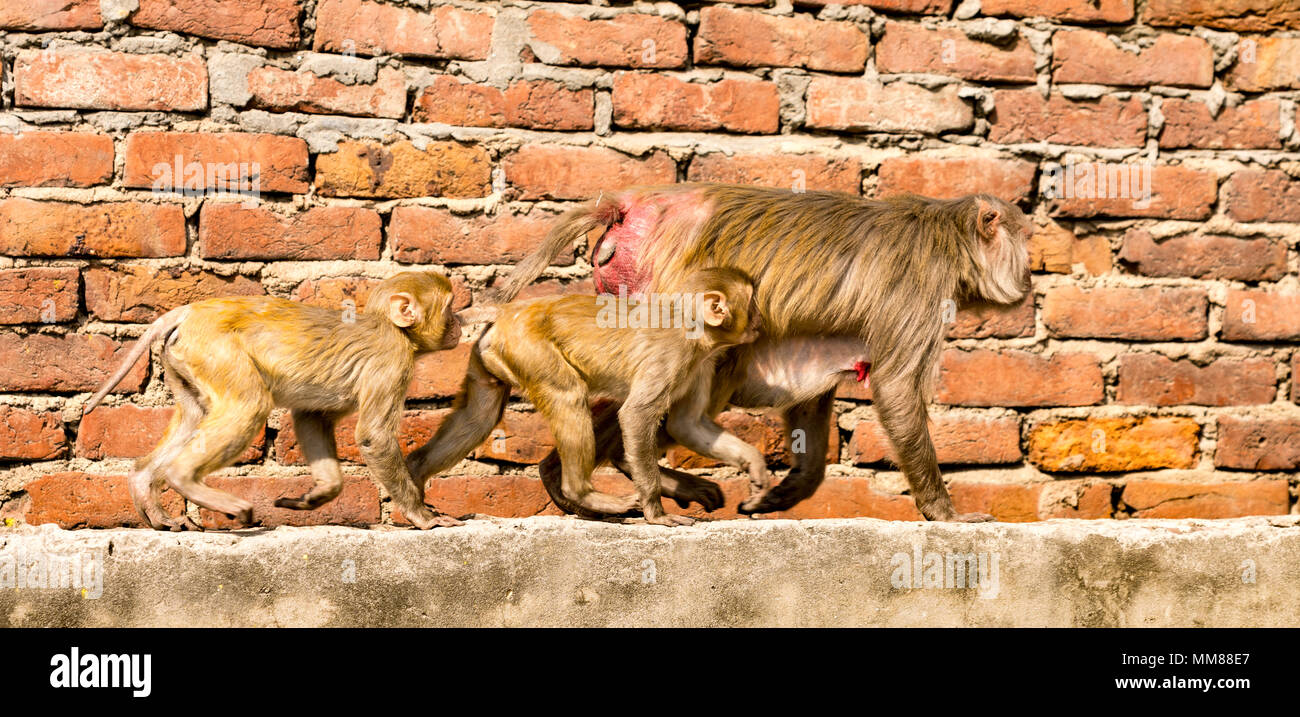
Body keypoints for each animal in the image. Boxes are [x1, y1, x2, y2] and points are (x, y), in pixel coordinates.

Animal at [82, 271, 464, 531]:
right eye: (449, 308)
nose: (460, 322)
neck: (393, 329)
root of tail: (190, 311)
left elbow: (312, 418)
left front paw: (318, 494)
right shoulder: (392, 363)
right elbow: (373, 437)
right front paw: (422, 515)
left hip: (184, 360)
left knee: (195, 415)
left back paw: (146, 487)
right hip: (214, 349)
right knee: (249, 404)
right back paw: (184, 478)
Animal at [404, 267, 764, 526]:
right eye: (752, 303)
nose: (760, 320)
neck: (693, 327)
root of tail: (506, 312)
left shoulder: (702, 363)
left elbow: (687, 424)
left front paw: (755, 466)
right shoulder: (672, 356)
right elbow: (636, 415)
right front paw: (656, 512)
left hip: (494, 353)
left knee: (479, 416)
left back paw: (416, 478)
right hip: (528, 346)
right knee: (567, 394)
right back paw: (582, 493)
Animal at [444, 183, 1033, 522]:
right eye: (1024, 239)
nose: (1031, 274)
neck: (949, 239)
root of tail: (630, 206)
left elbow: (812, 399)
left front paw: (787, 490)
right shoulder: (921, 289)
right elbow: (895, 386)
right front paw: (945, 513)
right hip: (660, 296)